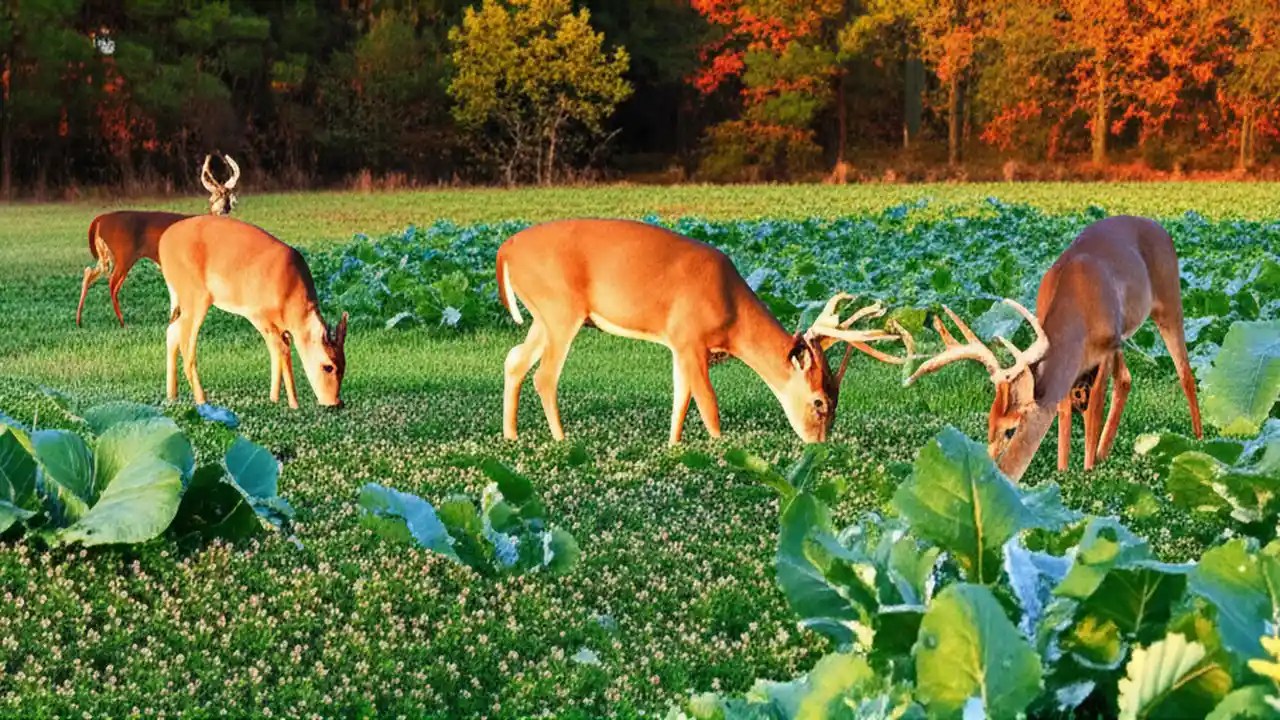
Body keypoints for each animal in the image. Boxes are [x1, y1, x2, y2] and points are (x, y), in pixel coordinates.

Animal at [76, 154, 241, 327]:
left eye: (229, 196)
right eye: (214, 197)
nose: (225, 208)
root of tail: (99, 220)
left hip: (105, 254)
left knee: (89, 274)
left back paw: (79, 321)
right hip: (124, 253)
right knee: (112, 284)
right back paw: (122, 322)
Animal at [158, 215, 348, 409]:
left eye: (345, 365)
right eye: (328, 366)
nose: (335, 402)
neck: (289, 295)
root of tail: (163, 243)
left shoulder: (281, 327)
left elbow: (277, 351)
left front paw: (274, 398)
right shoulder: (258, 314)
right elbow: (282, 349)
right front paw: (294, 403)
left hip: (181, 298)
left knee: (171, 331)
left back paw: (172, 395)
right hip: (196, 296)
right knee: (186, 344)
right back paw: (201, 400)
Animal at [495, 219, 906, 444]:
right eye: (819, 402)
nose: (818, 443)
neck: (732, 313)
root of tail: (504, 250)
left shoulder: (680, 346)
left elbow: (681, 399)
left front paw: (673, 446)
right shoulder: (690, 336)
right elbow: (708, 403)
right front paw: (720, 446)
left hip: (541, 316)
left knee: (514, 360)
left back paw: (511, 435)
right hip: (560, 310)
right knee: (545, 375)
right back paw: (562, 439)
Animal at [902, 215, 1203, 481]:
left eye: (1011, 429)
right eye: (988, 425)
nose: (996, 475)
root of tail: (1158, 226)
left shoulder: (1106, 348)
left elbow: (1094, 406)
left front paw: (1087, 471)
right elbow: (1064, 408)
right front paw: (1064, 470)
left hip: (1169, 301)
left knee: (1185, 373)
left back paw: (1198, 441)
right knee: (1126, 379)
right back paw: (1104, 453)